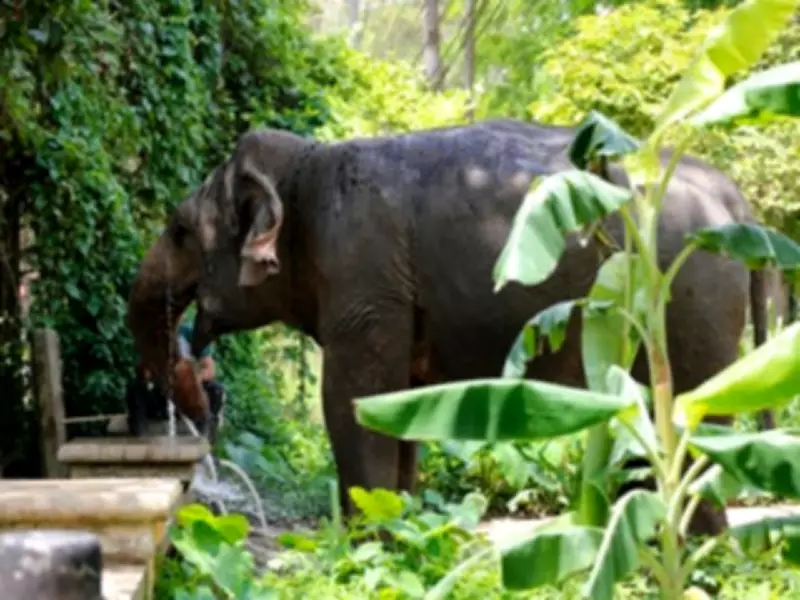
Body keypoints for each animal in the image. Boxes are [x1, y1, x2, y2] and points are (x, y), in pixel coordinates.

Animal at [127, 118, 773, 536]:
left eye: (179, 230)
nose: (190, 384)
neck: (306, 163)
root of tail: (738, 203)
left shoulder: (364, 275)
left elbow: (351, 401)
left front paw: (367, 543)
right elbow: (398, 404)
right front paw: (398, 528)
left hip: (685, 294)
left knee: (686, 416)